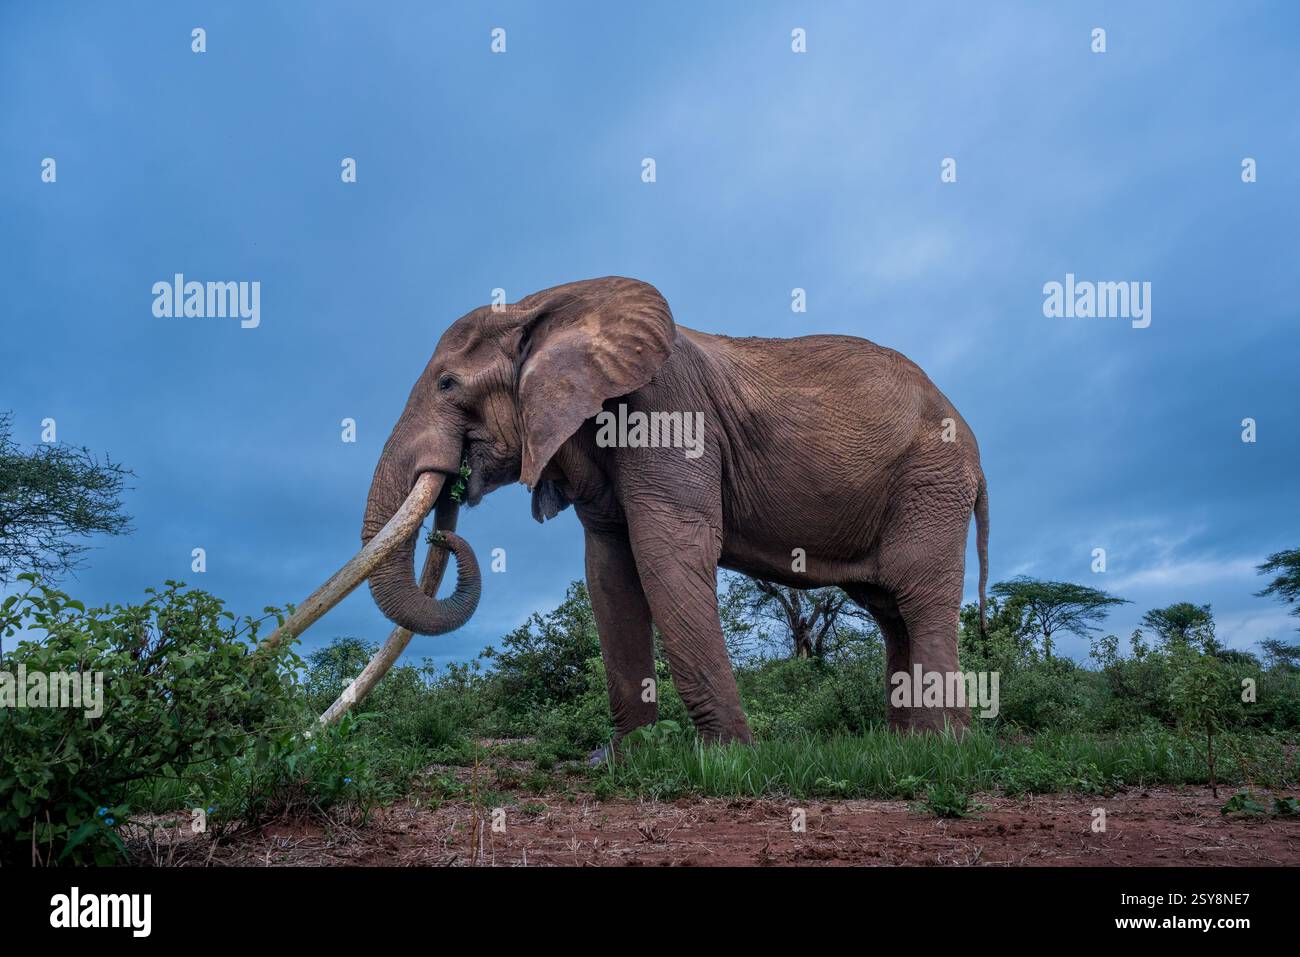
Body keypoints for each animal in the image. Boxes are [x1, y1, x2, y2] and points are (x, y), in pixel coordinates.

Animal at [361, 276, 989, 745]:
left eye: (447, 384)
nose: (444, 532)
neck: (540, 308)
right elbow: (609, 575)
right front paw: (626, 757)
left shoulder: (667, 413)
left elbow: (667, 554)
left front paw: (731, 757)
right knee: (890, 609)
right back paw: (904, 746)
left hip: (930, 483)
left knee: (919, 596)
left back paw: (943, 748)